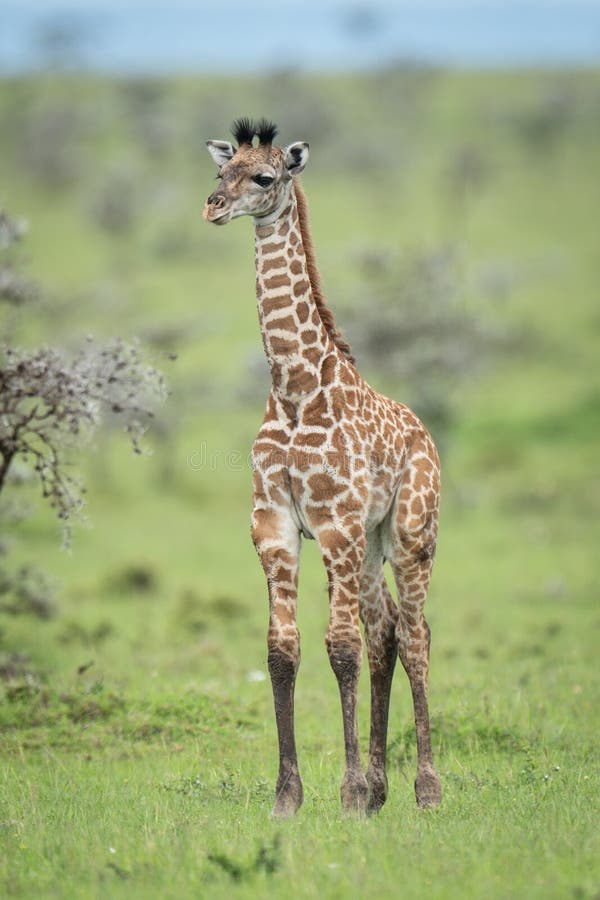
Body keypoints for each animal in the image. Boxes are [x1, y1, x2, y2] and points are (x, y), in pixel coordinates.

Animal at [203, 118, 442, 818]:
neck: (294, 385)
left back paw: (424, 787)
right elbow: (283, 650)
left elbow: (341, 649)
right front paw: (290, 796)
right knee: (385, 630)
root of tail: (427, 435)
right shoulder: (275, 525)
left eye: (265, 176)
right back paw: (386, 788)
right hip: (369, 545)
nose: (212, 206)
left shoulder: (334, 524)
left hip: (410, 536)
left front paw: (348, 792)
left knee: (414, 636)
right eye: (221, 171)